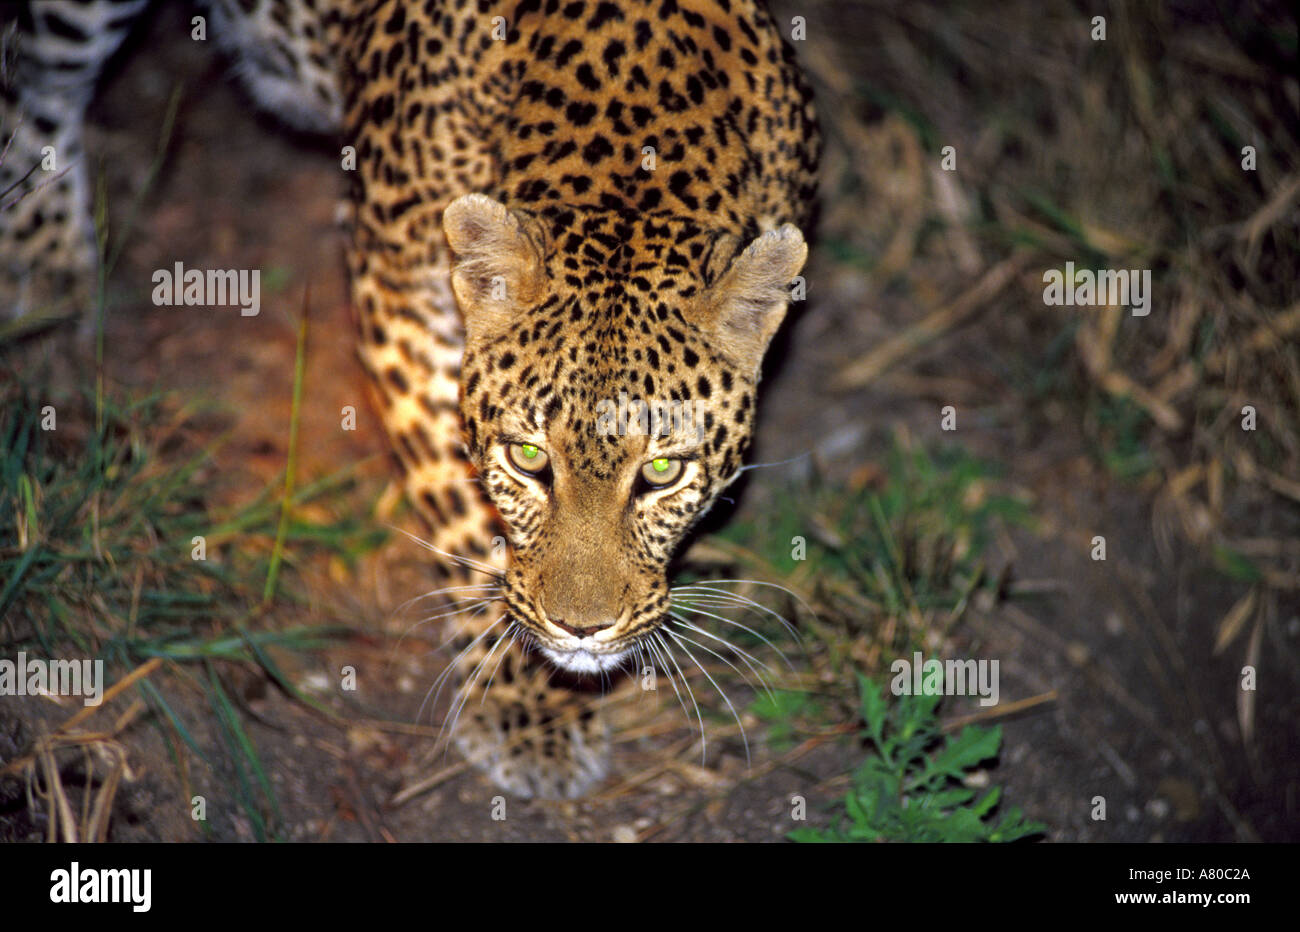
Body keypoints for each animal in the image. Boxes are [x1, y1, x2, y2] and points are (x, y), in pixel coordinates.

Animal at [1, 0, 820, 799]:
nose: (580, 631)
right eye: (528, 460)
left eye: (661, 473)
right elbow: (465, 523)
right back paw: (44, 273)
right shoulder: (395, 295)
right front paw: (523, 699)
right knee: (36, 75)